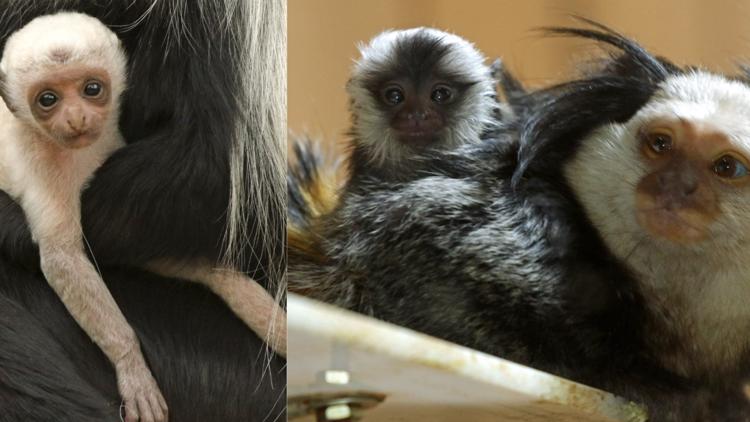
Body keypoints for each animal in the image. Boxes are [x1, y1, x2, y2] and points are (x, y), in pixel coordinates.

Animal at [289, 23, 750, 421]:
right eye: (660, 144)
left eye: (727, 167)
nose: (676, 187)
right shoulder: (507, 214)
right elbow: (409, 241)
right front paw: (638, 382)